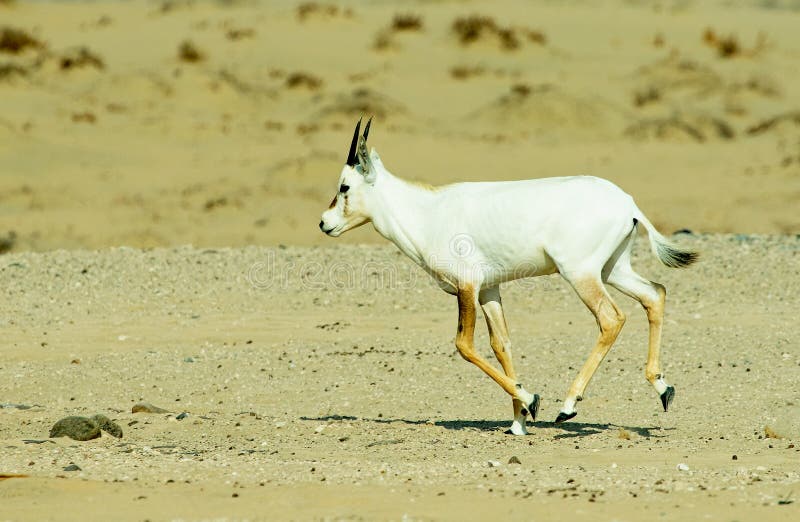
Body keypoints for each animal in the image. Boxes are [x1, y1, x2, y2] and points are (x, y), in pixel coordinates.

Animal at [319, 118, 697, 435]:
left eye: (345, 186)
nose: (324, 223)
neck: (428, 211)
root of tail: (627, 203)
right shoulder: (489, 291)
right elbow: (501, 345)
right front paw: (519, 421)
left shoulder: (467, 287)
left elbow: (464, 345)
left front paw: (531, 400)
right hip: (613, 269)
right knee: (655, 294)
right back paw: (663, 388)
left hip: (581, 274)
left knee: (611, 318)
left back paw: (568, 406)